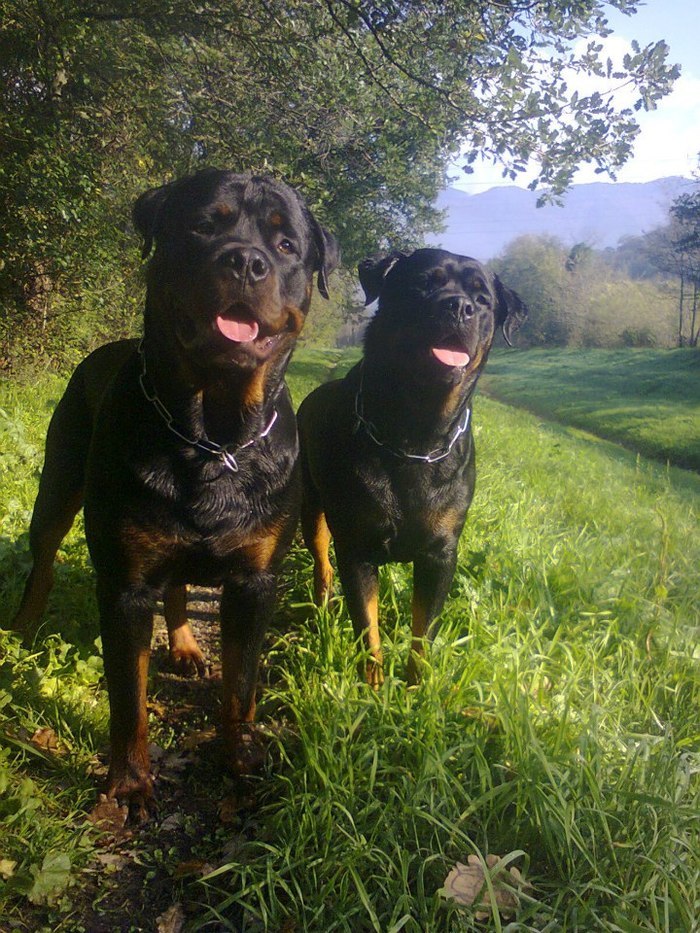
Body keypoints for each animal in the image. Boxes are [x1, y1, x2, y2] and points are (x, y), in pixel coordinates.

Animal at [11, 169, 340, 816]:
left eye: (286, 245)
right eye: (203, 226)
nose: (245, 261)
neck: (212, 435)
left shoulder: (255, 582)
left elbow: (240, 687)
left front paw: (240, 761)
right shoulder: (125, 585)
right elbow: (128, 699)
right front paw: (130, 785)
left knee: (181, 587)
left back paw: (185, 645)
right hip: (57, 488)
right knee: (44, 562)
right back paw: (24, 630)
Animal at [296, 248, 524, 684]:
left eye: (482, 299)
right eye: (422, 283)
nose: (460, 306)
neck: (414, 436)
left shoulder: (440, 554)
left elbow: (424, 630)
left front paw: (415, 686)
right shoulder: (357, 547)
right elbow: (367, 627)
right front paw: (373, 685)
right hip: (311, 507)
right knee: (321, 560)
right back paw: (321, 608)